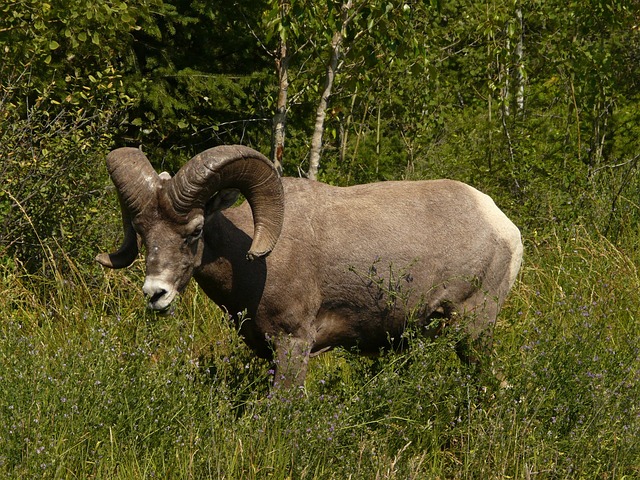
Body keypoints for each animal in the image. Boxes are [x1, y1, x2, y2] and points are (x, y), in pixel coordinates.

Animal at [97, 145, 523, 388]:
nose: (155, 293)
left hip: (472, 330)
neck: (252, 264)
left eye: (195, 230)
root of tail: (505, 228)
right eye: (142, 231)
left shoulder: (293, 343)